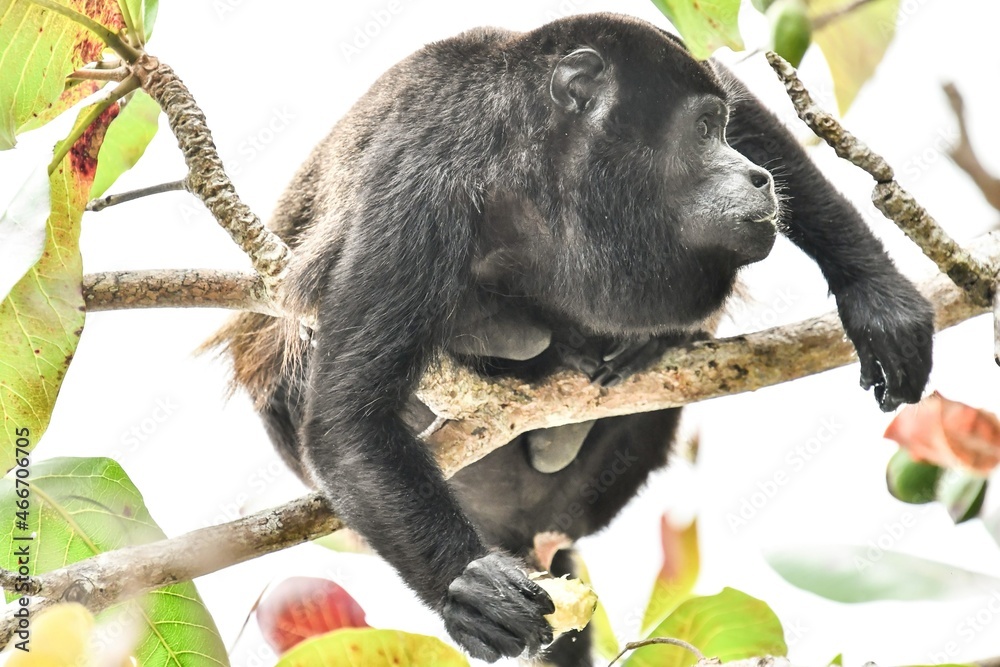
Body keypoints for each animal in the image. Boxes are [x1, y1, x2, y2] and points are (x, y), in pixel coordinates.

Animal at [208, 13, 934, 666]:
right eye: (702, 130)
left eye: (725, 129)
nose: (758, 176)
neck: (532, 174)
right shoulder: (419, 180)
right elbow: (349, 422)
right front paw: (466, 583)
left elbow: (738, 86)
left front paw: (874, 291)